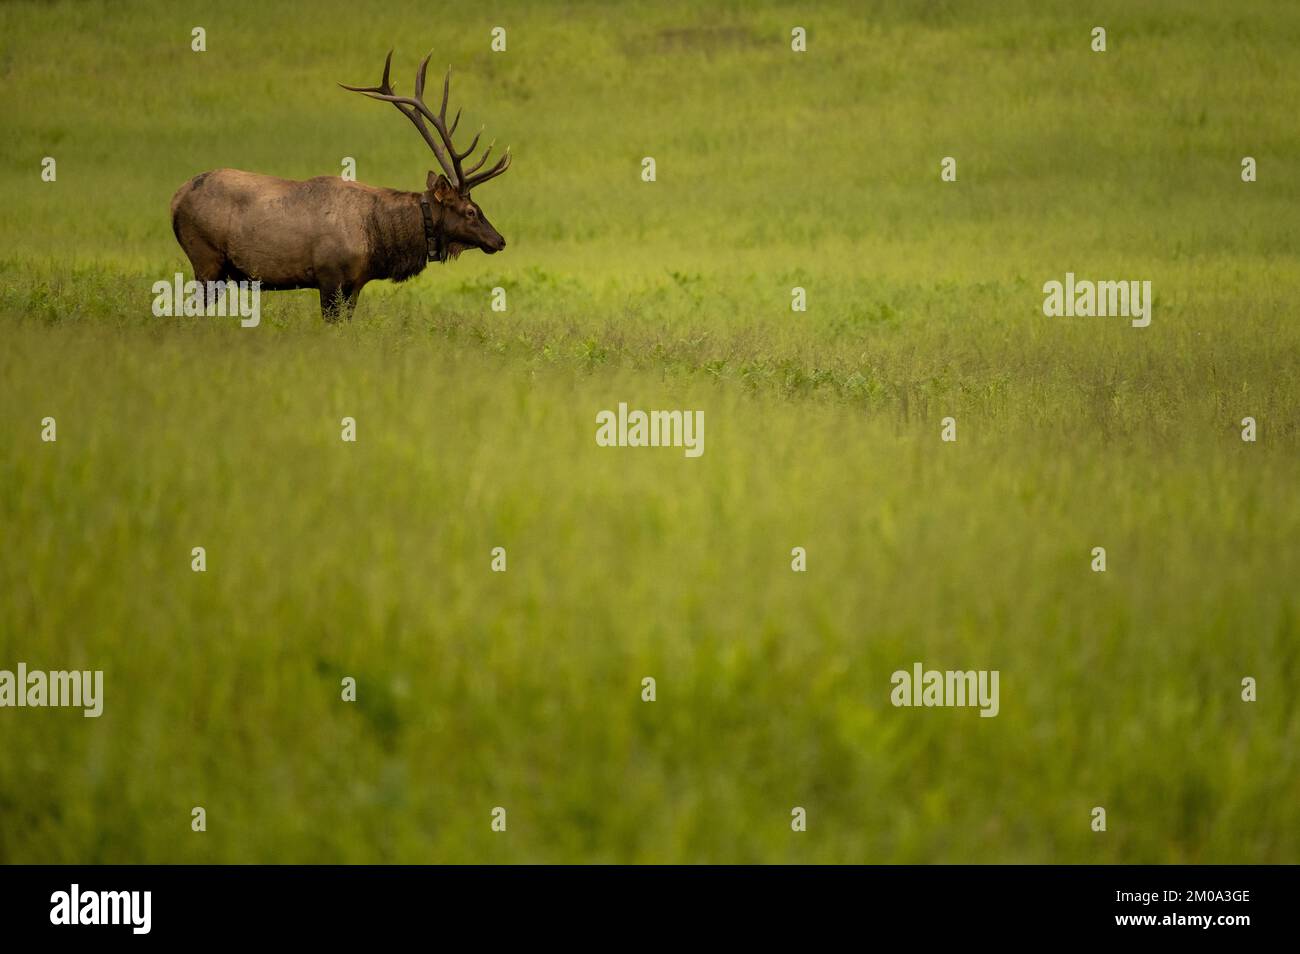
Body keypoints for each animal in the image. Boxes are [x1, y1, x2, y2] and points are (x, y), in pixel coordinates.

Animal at [169, 51, 511, 321]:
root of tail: (175, 199)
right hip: (206, 258)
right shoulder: (329, 275)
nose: (500, 240)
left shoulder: (355, 283)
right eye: (470, 211)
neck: (379, 237)